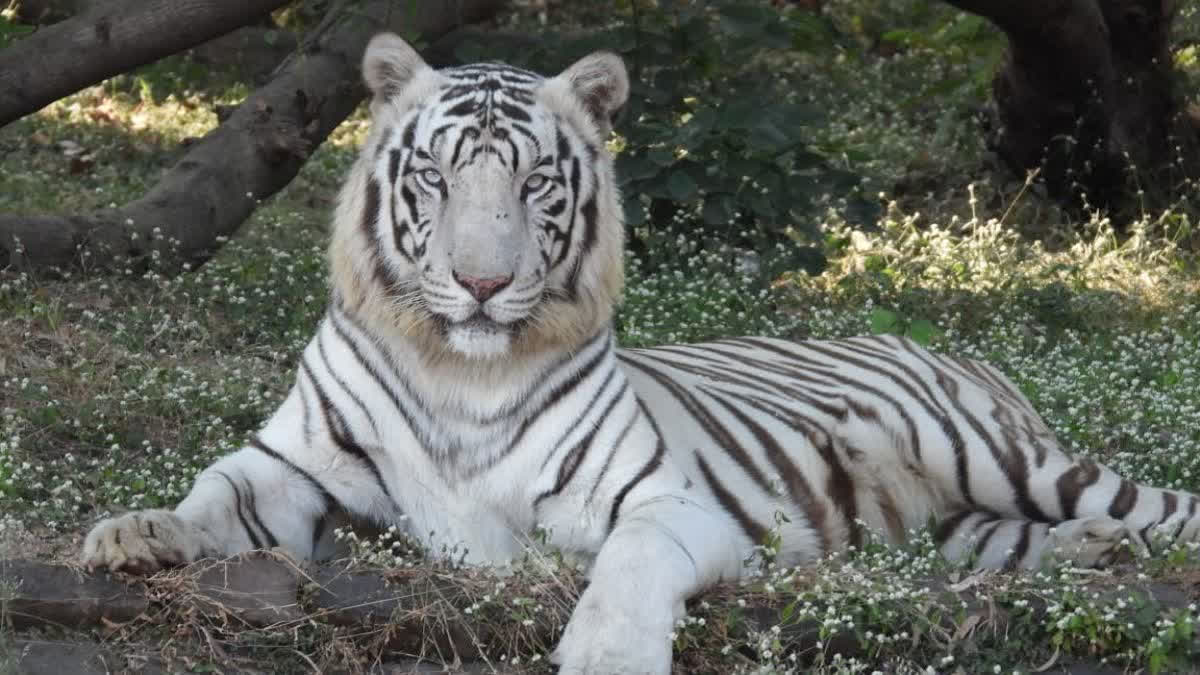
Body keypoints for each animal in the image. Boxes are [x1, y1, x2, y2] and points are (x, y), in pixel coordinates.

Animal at [81, 32, 1200, 674]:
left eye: (533, 181)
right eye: (436, 178)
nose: (481, 284)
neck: (459, 369)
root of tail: (966, 355)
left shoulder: (666, 501)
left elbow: (631, 559)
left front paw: (608, 652)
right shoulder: (292, 465)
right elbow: (213, 494)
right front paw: (134, 536)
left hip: (998, 456)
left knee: (1161, 507)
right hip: (958, 526)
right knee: (1016, 547)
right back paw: (1092, 556)